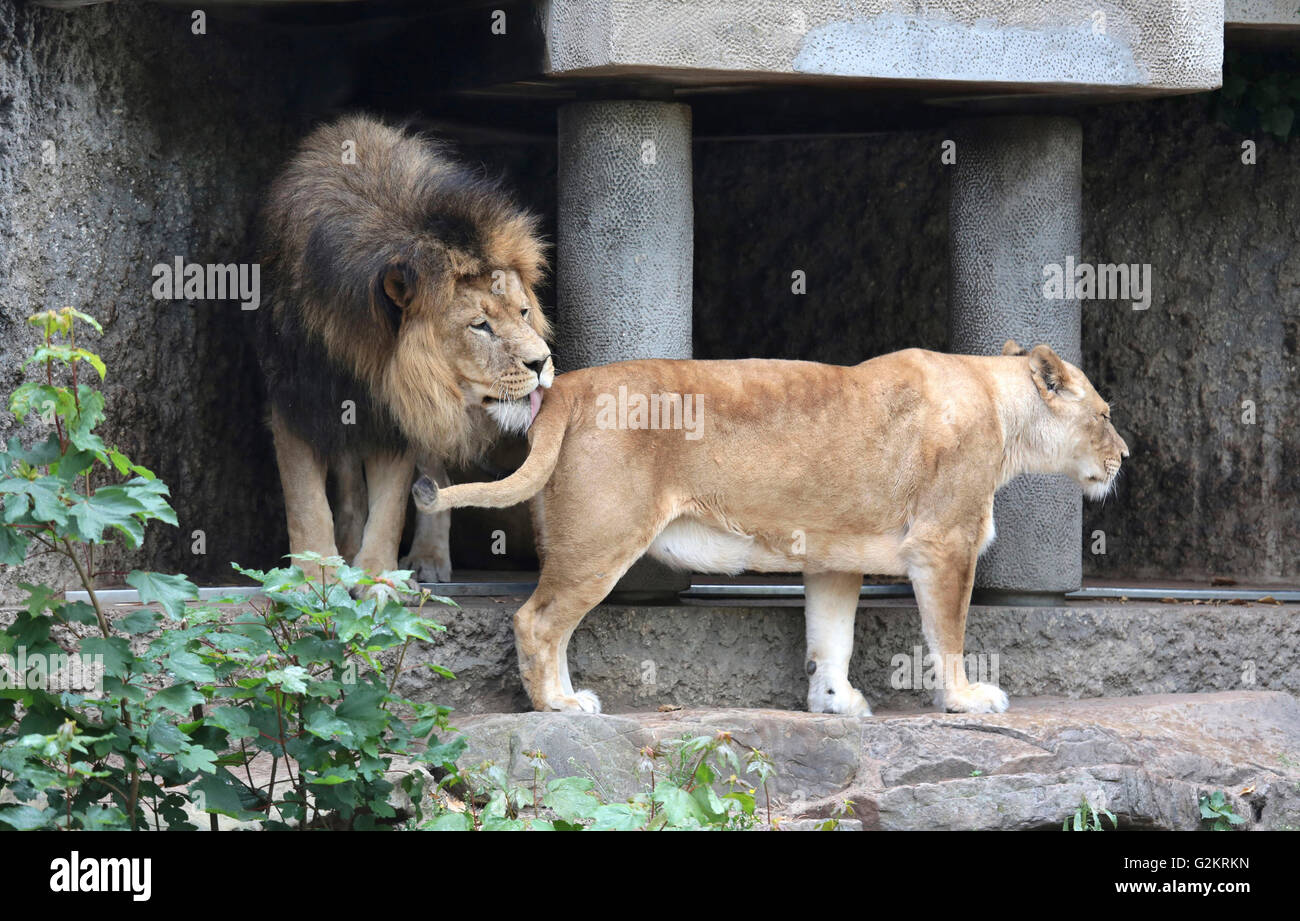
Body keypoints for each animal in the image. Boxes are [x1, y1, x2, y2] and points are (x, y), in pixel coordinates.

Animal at [255, 114, 553, 584]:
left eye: (523, 312)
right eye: (480, 325)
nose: (542, 362)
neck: (363, 347)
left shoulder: (403, 408)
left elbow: (393, 505)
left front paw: (377, 579)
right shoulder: (294, 399)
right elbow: (306, 503)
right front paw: (314, 579)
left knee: (433, 475)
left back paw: (427, 559)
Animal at [412, 340, 1129, 715]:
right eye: (1104, 414)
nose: (1125, 456)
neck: (1002, 413)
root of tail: (567, 388)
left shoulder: (835, 555)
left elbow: (831, 636)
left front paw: (836, 701)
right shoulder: (943, 543)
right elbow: (948, 633)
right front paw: (965, 699)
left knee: (552, 626)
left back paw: (568, 698)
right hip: (601, 541)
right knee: (537, 621)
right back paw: (555, 708)